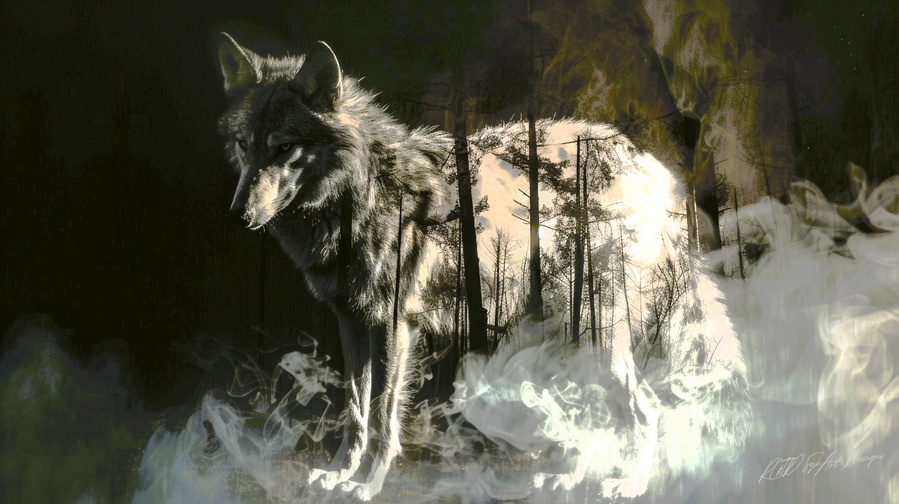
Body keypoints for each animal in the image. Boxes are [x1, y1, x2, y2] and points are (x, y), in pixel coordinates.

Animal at [216, 34, 454, 500]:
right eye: (243, 144)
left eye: (284, 146)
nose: (238, 215)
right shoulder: (351, 320)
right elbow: (355, 407)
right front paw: (339, 472)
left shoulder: (391, 325)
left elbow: (382, 415)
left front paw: (367, 483)